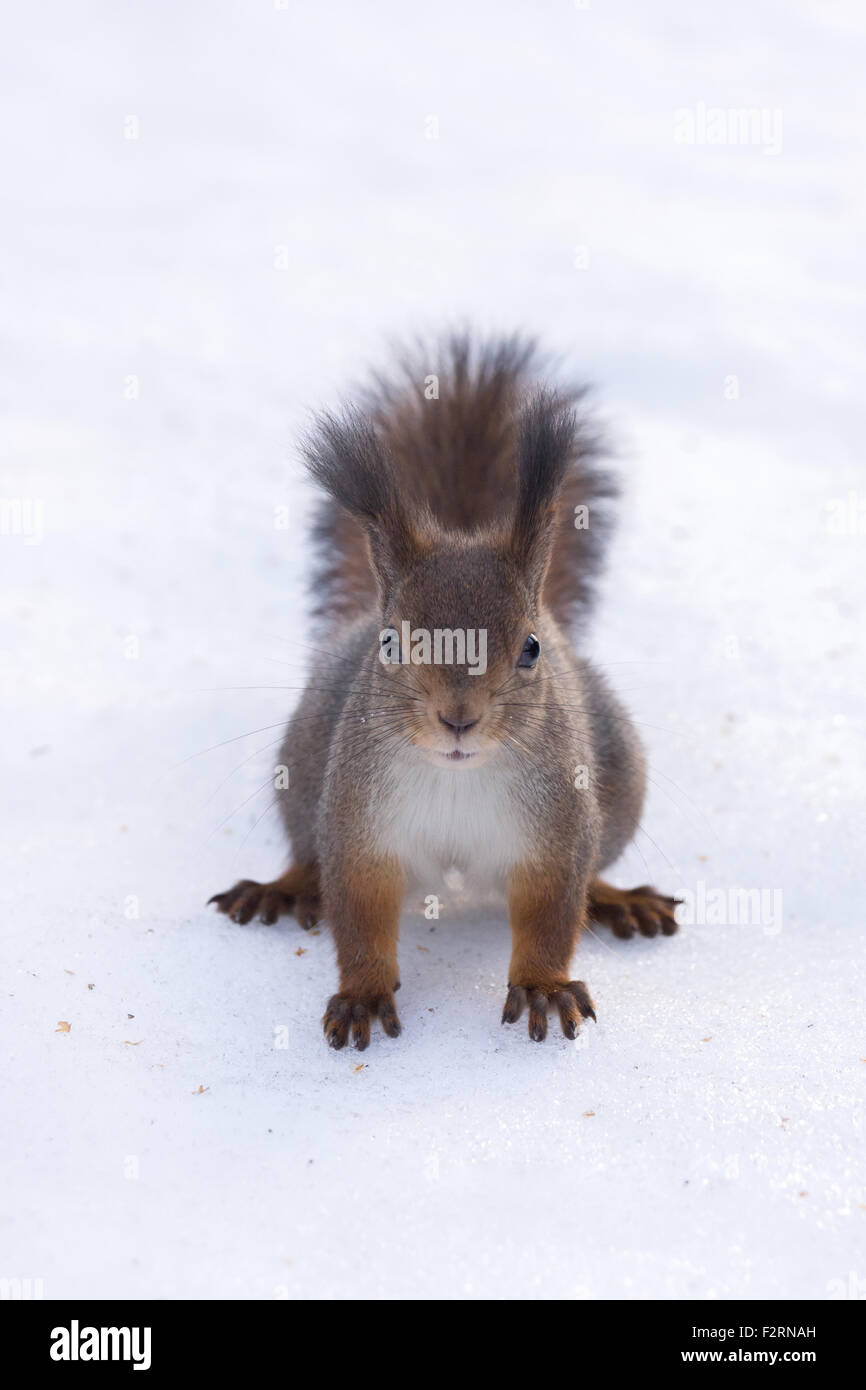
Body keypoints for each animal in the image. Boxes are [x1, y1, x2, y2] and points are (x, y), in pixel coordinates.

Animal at [209, 333, 679, 1049]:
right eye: (390, 644)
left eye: (531, 648)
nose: (458, 718)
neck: (458, 775)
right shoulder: (359, 824)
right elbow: (359, 911)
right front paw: (363, 993)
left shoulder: (557, 825)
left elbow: (551, 909)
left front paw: (543, 985)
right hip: (306, 761)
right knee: (308, 851)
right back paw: (284, 886)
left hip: (619, 778)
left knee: (595, 869)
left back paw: (618, 899)